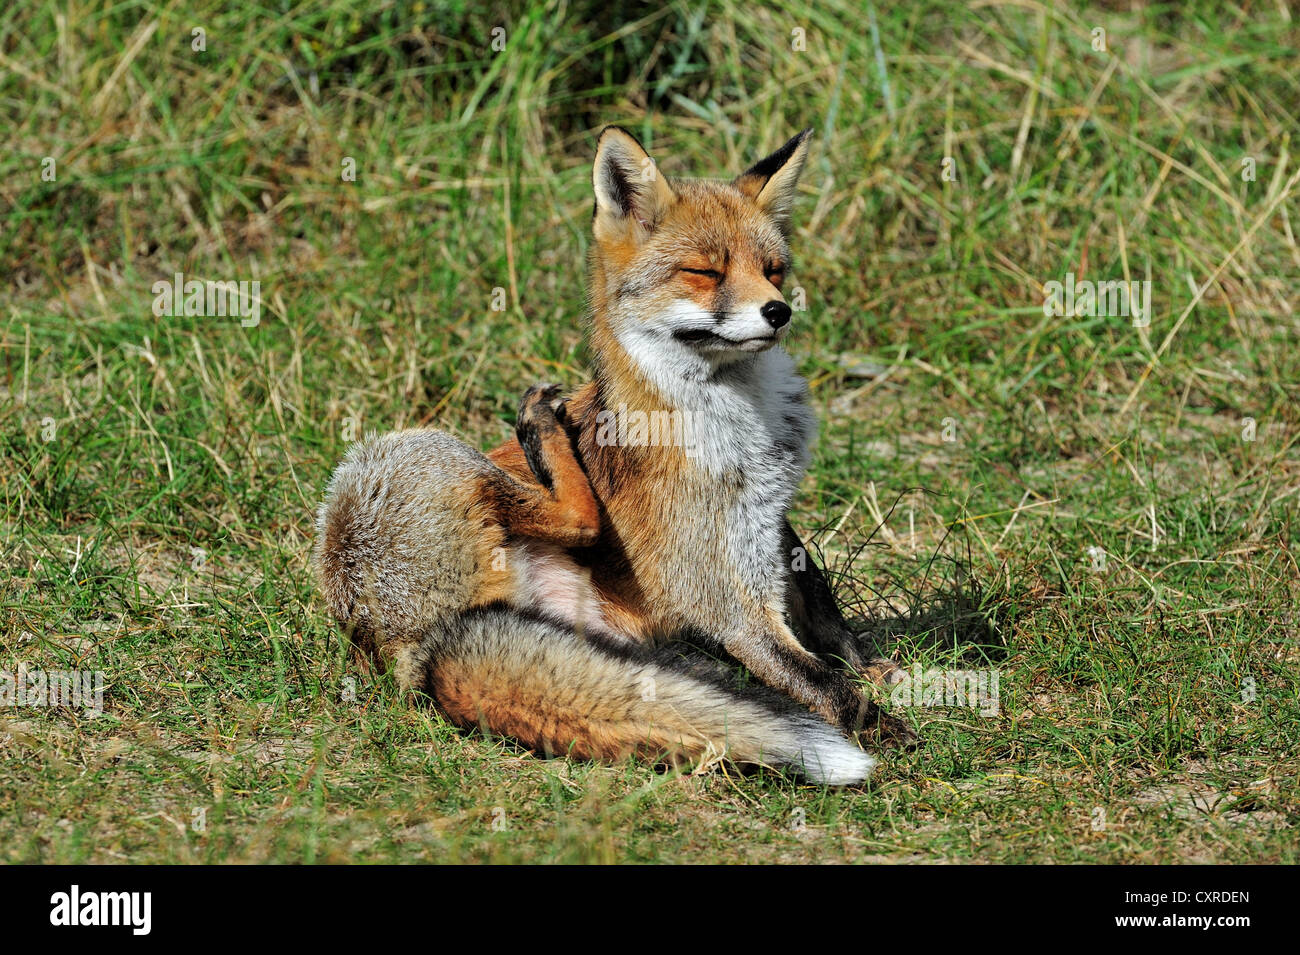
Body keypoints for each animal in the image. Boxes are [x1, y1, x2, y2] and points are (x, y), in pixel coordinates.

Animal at [313, 126, 913, 785]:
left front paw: (886, 673)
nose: (778, 311)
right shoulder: (720, 591)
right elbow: (820, 682)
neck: (742, 428)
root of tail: (413, 647)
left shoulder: (770, 523)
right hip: (427, 451)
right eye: (705, 271)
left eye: (774, 270)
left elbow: (828, 617)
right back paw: (540, 426)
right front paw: (885, 730)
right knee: (581, 519)